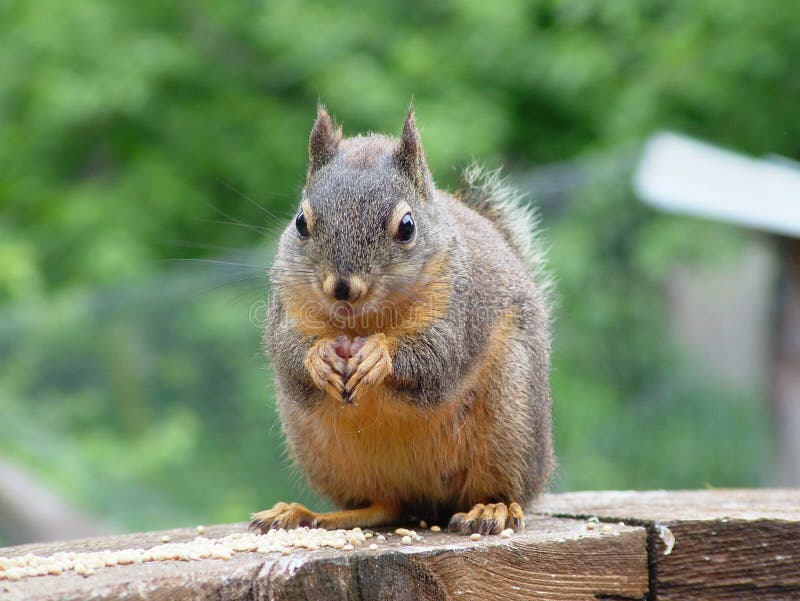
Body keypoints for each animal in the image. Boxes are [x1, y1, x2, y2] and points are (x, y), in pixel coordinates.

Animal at [250, 106, 554, 535]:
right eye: (300, 223)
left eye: (407, 226)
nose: (342, 288)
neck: (362, 323)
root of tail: (426, 501)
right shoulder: (286, 307)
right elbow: (286, 351)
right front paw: (319, 358)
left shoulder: (461, 310)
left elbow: (438, 356)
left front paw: (379, 356)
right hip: (328, 457)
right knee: (382, 506)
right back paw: (308, 514)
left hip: (511, 425)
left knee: (505, 490)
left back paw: (492, 509)